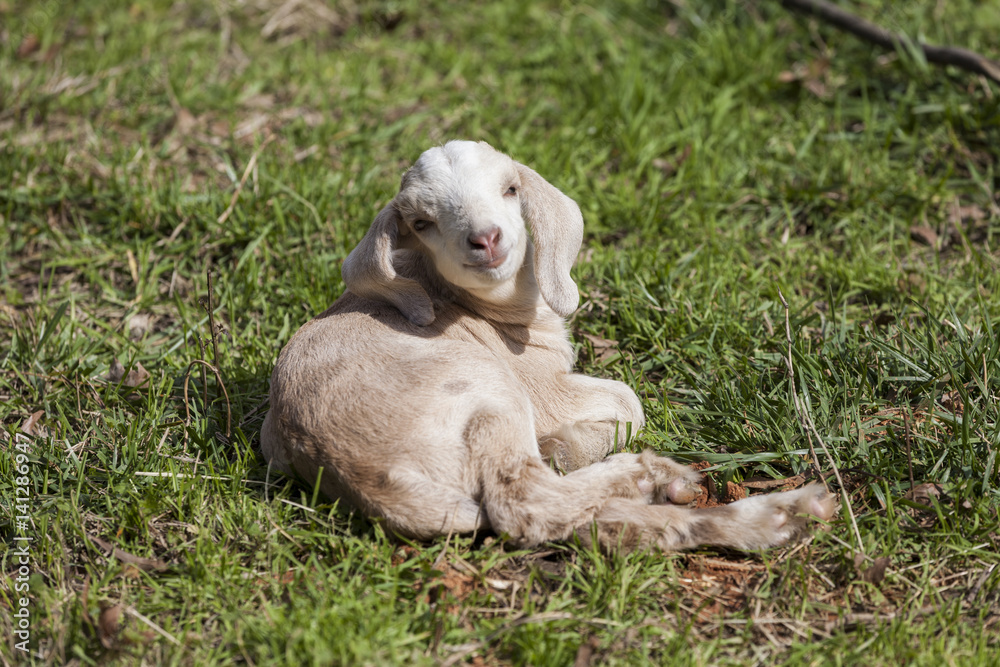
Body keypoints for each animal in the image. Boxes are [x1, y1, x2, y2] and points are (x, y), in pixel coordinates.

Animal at [260, 140, 835, 552]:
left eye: (511, 189)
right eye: (421, 222)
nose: (486, 239)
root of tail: (367, 477)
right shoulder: (541, 388)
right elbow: (630, 401)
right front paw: (574, 439)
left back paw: (773, 517)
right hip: (486, 392)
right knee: (525, 505)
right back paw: (643, 472)